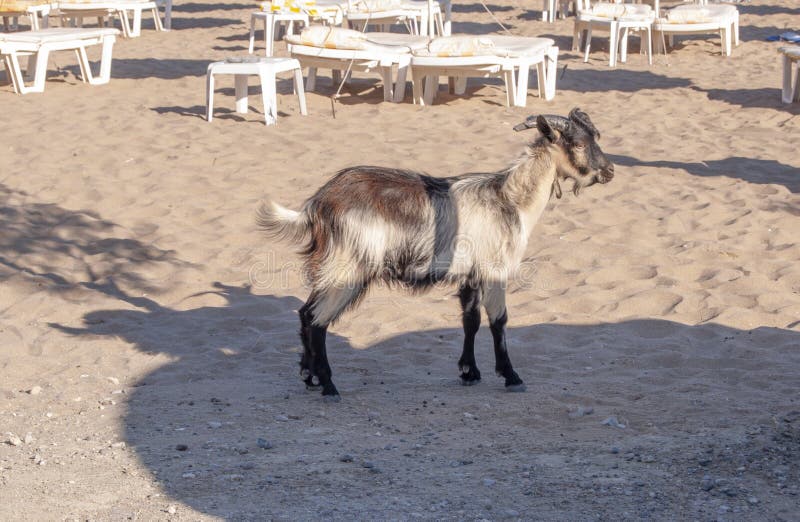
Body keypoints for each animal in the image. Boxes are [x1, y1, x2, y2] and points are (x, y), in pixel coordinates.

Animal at [257, 108, 614, 401]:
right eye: (577, 144)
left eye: (596, 136)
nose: (609, 171)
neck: (509, 199)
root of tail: (318, 204)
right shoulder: (495, 270)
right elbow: (498, 320)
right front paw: (511, 376)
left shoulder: (471, 275)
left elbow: (470, 320)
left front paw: (469, 372)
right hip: (349, 267)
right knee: (319, 320)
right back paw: (329, 384)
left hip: (332, 266)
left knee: (306, 313)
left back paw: (309, 376)